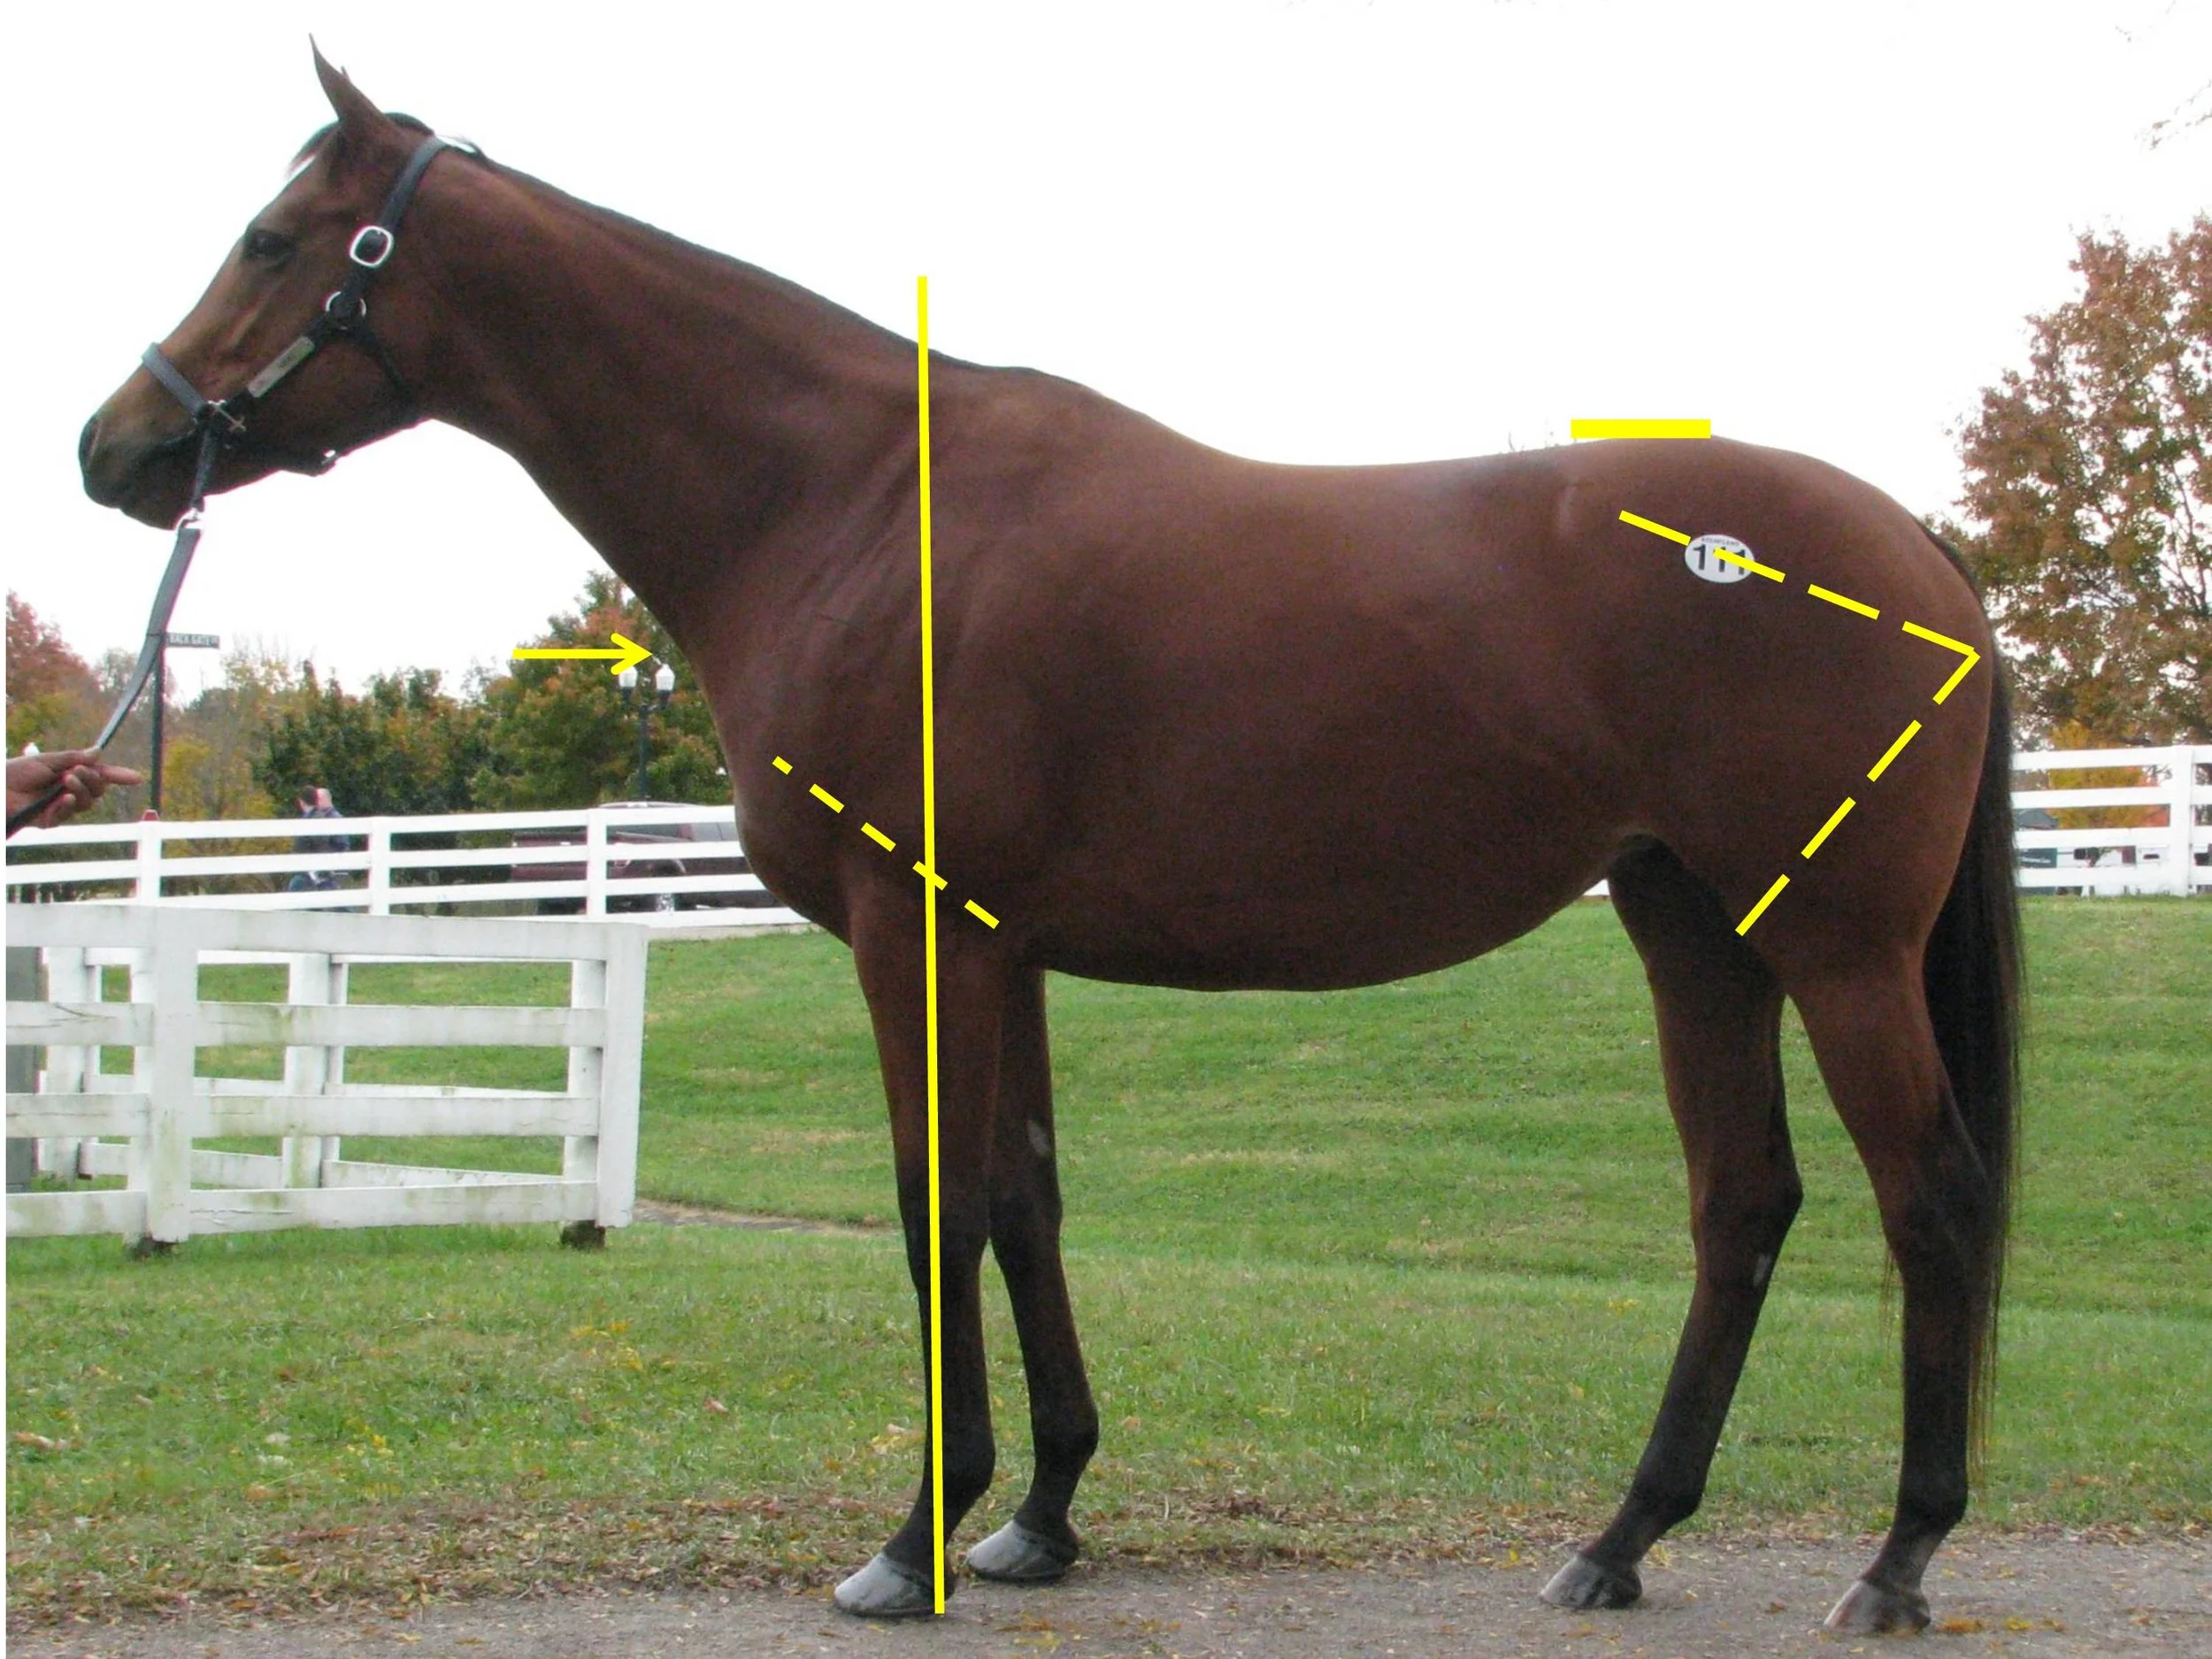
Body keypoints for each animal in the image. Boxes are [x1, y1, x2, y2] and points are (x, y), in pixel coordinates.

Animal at [79, 49, 2021, 1636]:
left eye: (270, 237)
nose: (117, 445)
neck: (855, 503)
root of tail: (1918, 550)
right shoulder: (996, 942)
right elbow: (1021, 1194)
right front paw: (1044, 1514)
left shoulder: (909, 929)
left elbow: (933, 1199)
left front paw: (911, 1537)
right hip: (1690, 924)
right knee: (1740, 1201)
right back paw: (1618, 1540)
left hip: (1833, 948)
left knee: (1926, 1197)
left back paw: (1894, 1559)